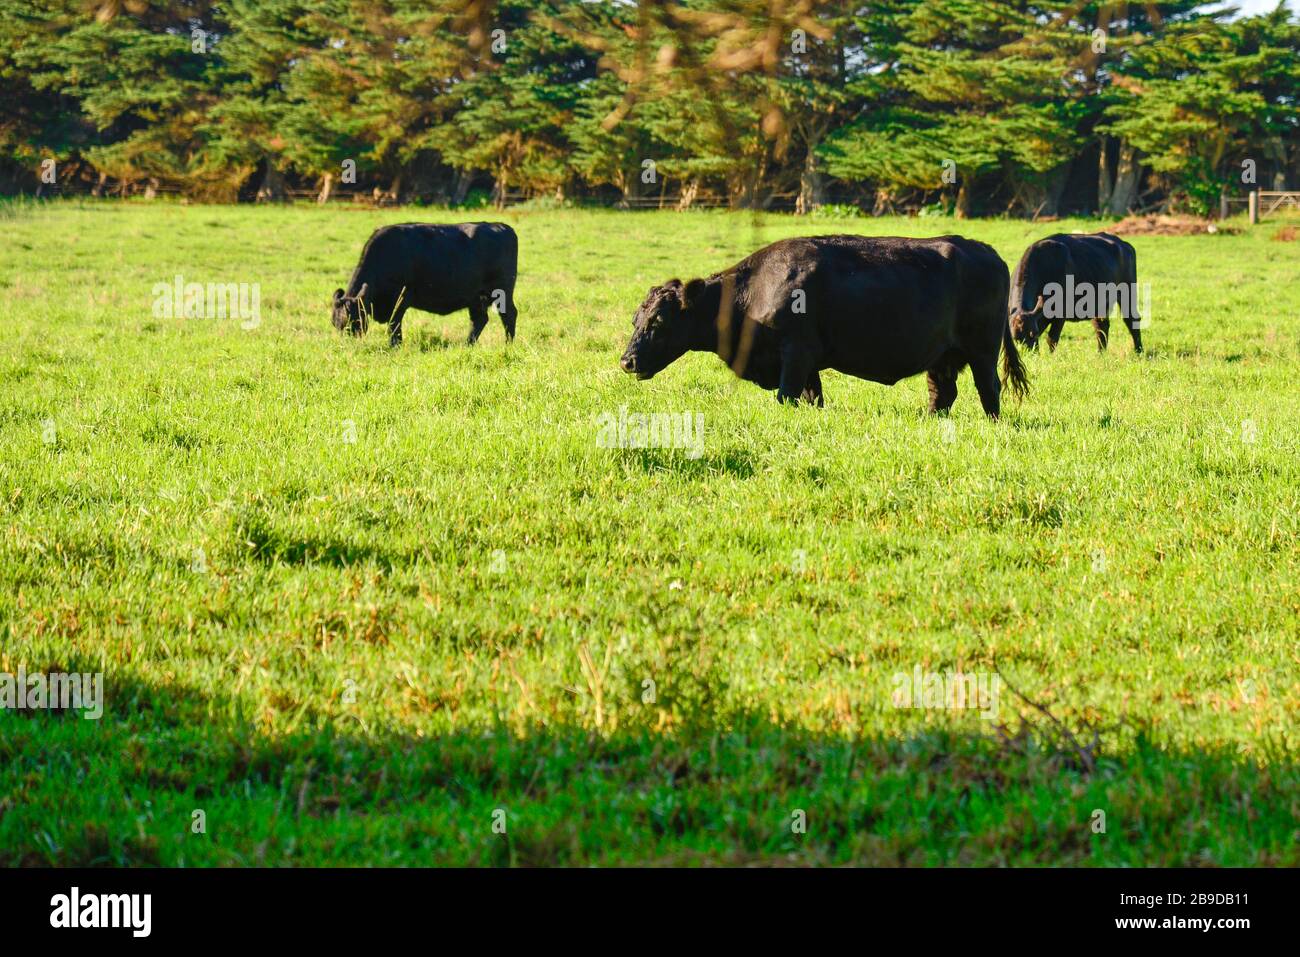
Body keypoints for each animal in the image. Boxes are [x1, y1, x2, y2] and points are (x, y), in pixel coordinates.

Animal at [332, 222, 518, 347]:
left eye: (351, 323)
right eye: (335, 324)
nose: (347, 346)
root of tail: (502, 226)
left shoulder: (400, 301)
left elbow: (394, 325)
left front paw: (395, 346)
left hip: (501, 291)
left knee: (509, 315)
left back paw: (508, 344)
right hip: (475, 297)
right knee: (479, 320)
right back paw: (467, 344)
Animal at [618, 234, 1027, 419]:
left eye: (658, 320)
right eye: (636, 318)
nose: (626, 361)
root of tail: (983, 249)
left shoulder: (796, 354)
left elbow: (786, 396)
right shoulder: (808, 362)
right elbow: (812, 398)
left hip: (982, 350)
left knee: (988, 388)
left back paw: (993, 422)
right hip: (942, 356)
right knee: (942, 393)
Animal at [1008, 232, 1142, 354]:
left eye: (1033, 334)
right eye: (1015, 338)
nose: (1029, 352)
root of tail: (1124, 245)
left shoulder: (1060, 314)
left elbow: (1052, 338)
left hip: (1128, 292)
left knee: (1131, 320)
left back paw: (1138, 351)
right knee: (1101, 326)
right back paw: (1100, 353)